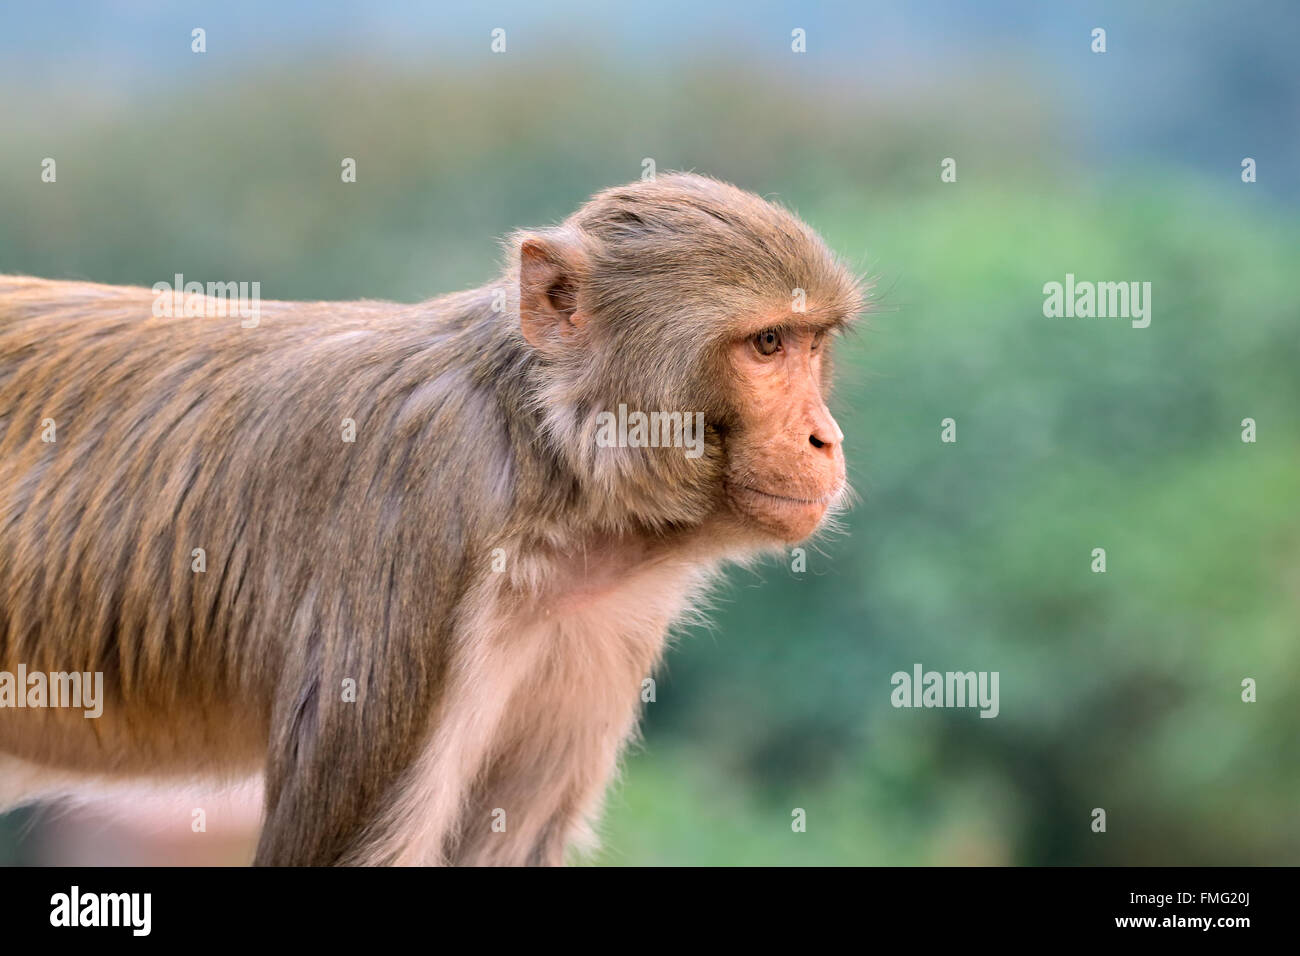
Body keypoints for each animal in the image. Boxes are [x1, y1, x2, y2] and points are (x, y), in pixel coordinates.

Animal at [0, 173, 864, 865]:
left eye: (811, 344)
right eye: (767, 343)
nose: (827, 438)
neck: (547, 460)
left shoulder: (602, 612)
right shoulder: (424, 524)